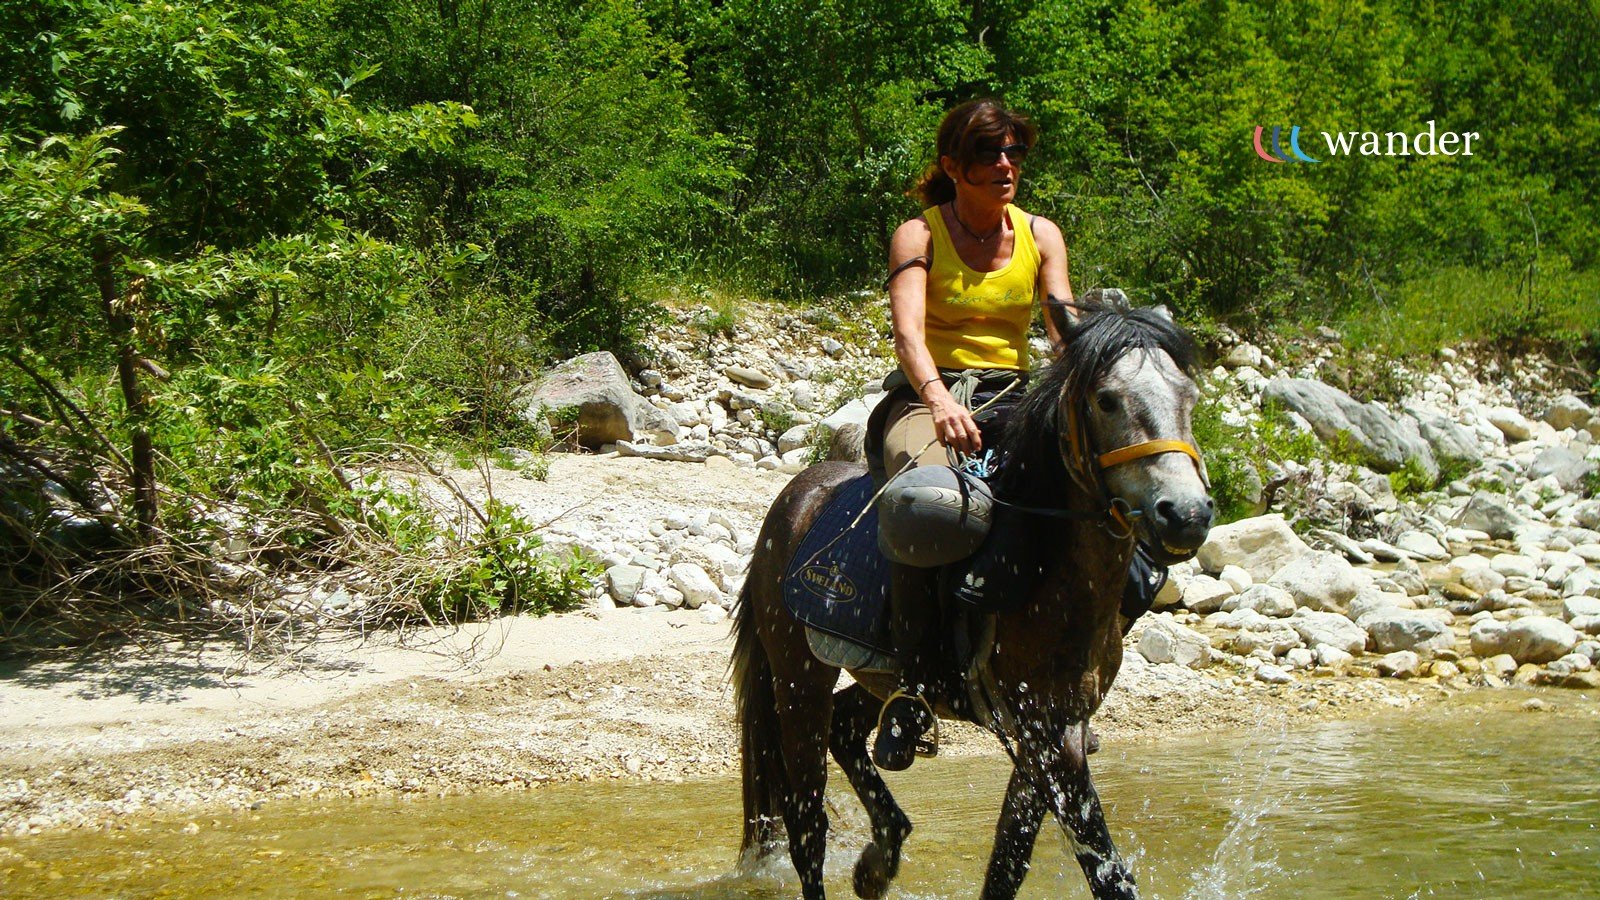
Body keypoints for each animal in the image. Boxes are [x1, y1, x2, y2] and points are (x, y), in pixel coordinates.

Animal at [730, 297, 1214, 899]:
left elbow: (1009, 862)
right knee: (806, 828)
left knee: (848, 729)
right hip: (798, 679)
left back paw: (880, 858)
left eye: (1189, 397)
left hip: (881, 677)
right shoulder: (1046, 735)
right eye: (1107, 399)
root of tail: (793, 499)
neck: (1046, 571)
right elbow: (1105, 872)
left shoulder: (1052, 733)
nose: (1187, 514)